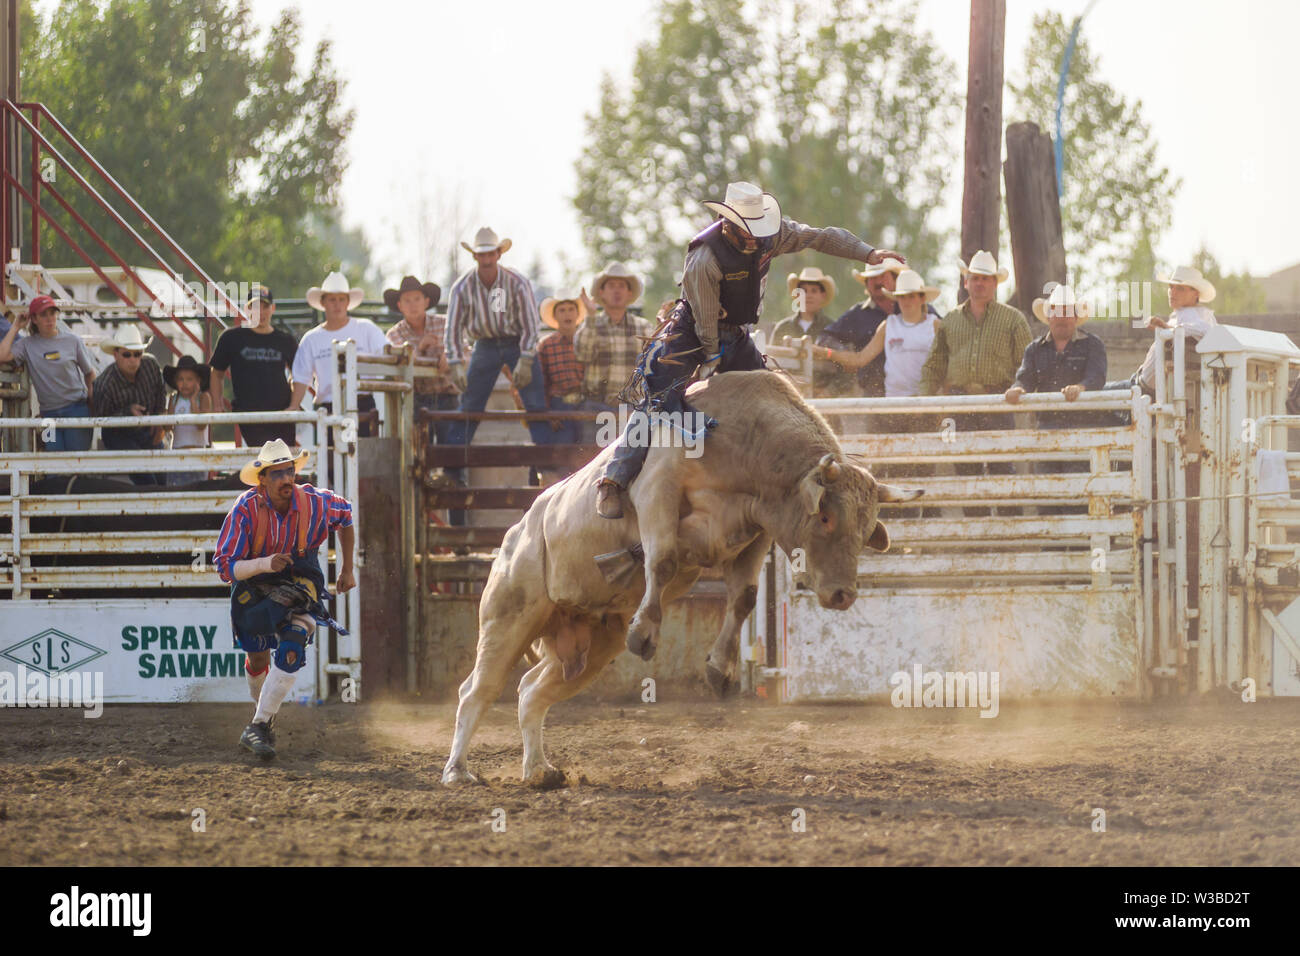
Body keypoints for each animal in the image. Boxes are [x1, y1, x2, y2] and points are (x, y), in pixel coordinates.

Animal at [441, 370, 922, 787]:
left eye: (866, 528)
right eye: (824, 516)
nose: (843, 594)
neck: (745, 445)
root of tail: (515, 532)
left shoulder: (756, 533)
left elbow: (744, 596)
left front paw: (720, 670)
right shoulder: (657, 490)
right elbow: (663, 560)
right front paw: (646, 633)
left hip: (590, 647)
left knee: (530, 692)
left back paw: (539, 770)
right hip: (510, 615)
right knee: (476, 690)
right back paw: (458, 771)